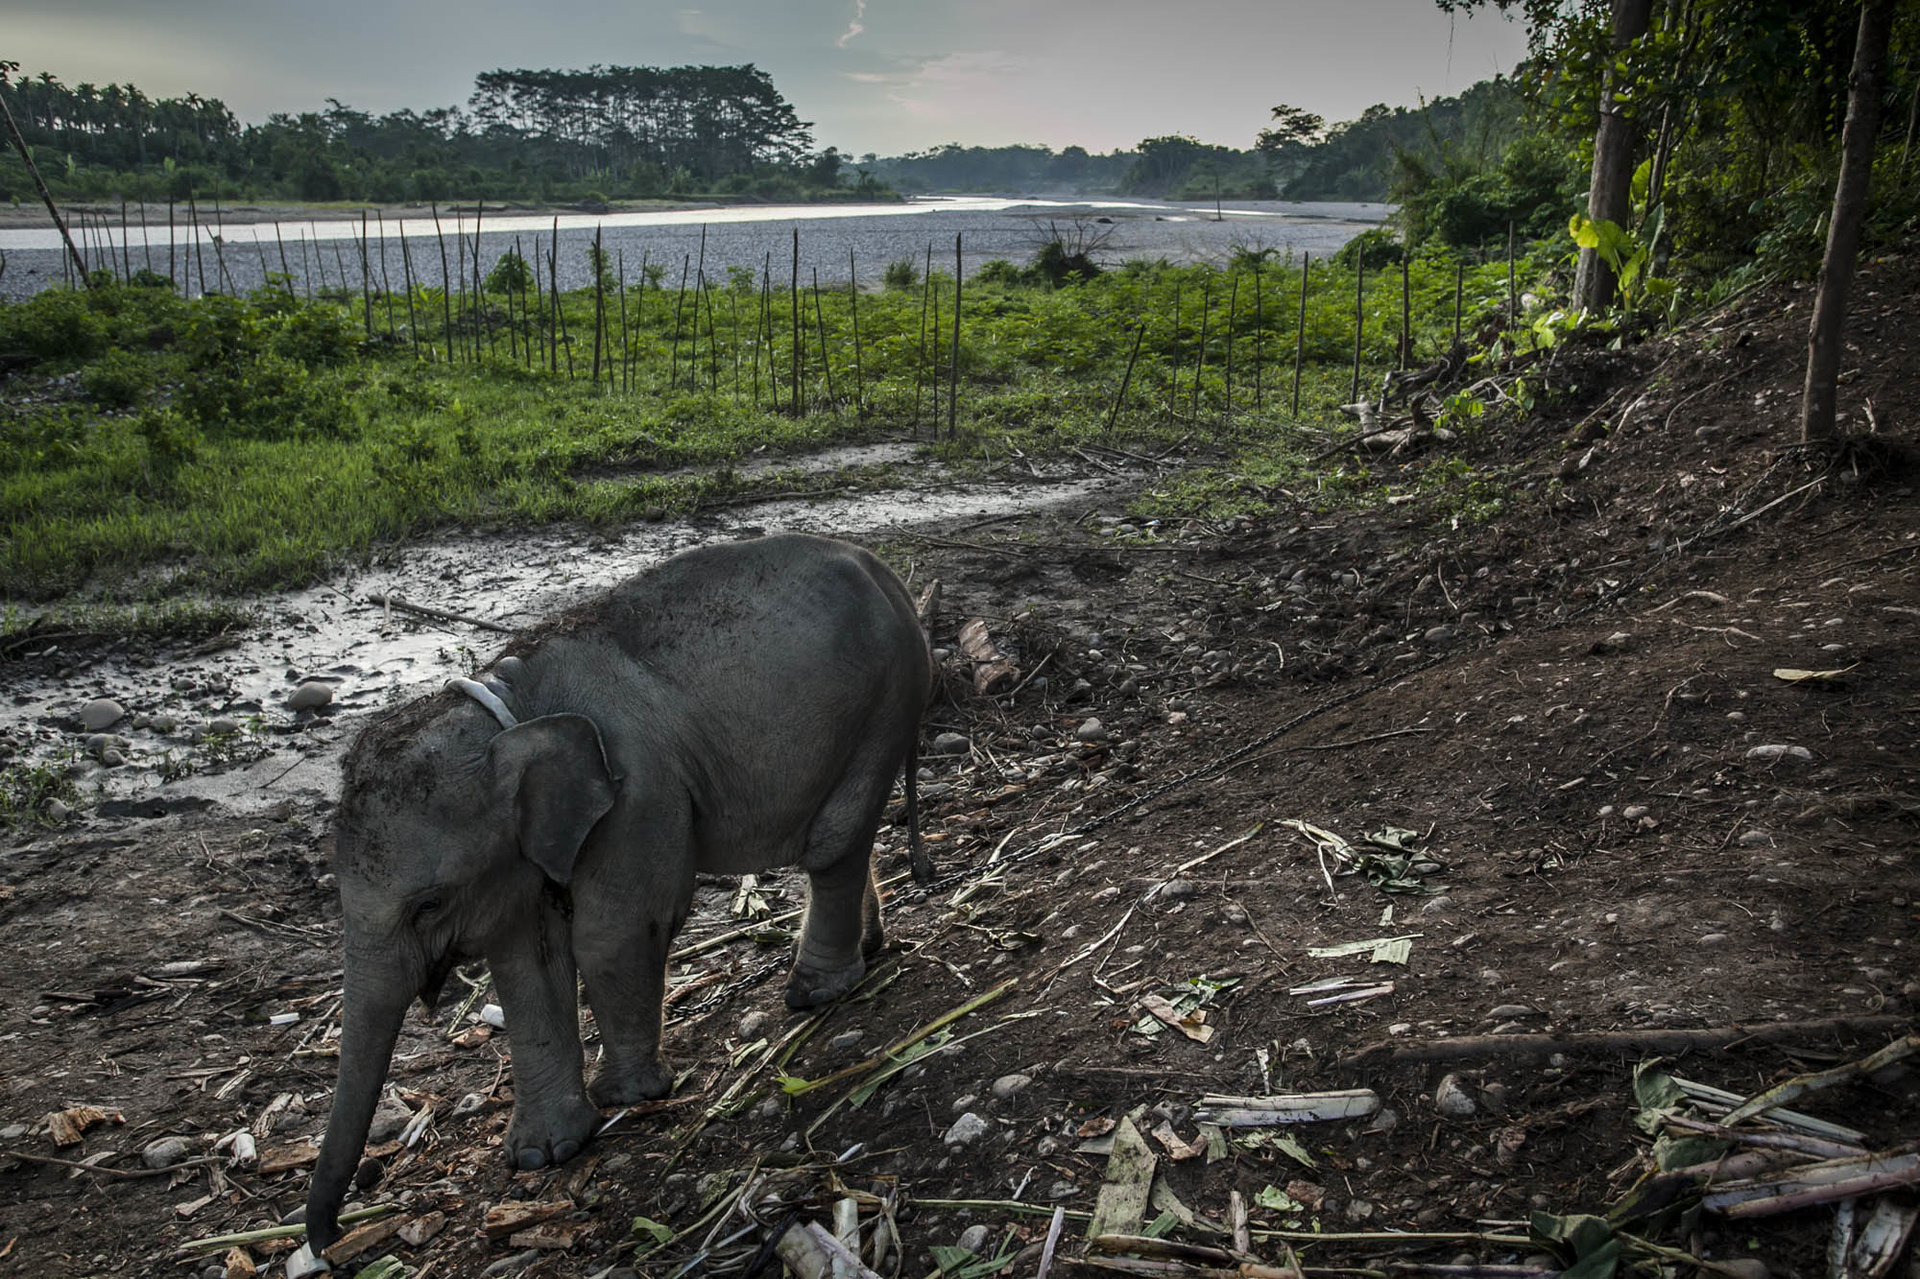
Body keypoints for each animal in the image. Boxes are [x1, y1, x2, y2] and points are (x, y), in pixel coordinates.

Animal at [295, 533, 932, 1265]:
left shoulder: (637, 791)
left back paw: (814, 991)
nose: (328, 1242)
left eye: (427, 904)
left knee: (832, 840)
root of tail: (882, 568)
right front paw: (542, 1153)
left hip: (885, 699)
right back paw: (867, 947)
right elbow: (526, 966)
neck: (512, 704)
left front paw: (628, 1095)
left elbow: (614, 932)